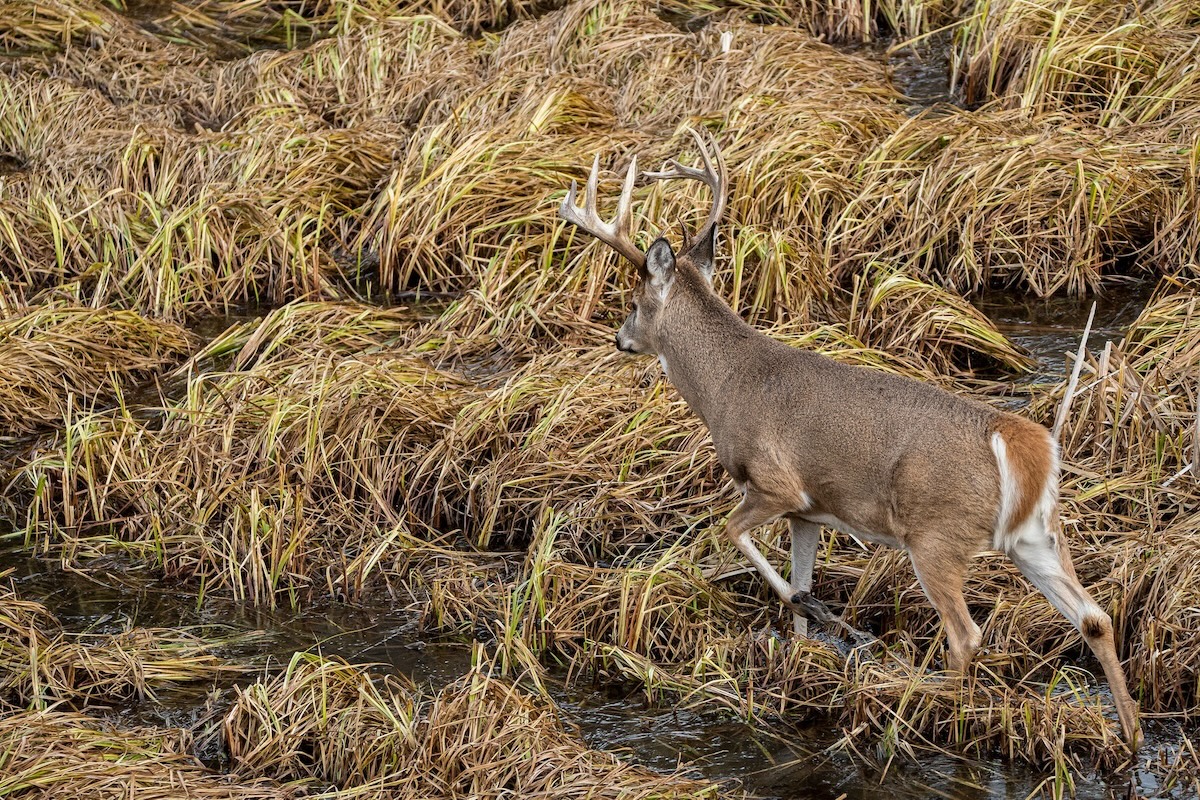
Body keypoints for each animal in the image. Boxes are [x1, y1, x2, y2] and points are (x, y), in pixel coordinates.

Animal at [558, 129, 1141, 749]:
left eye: (634, 302)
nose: (620, 339)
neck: (726, 385)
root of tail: (1019, 440)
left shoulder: (775, 484)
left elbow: (739, 539)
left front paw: (822, 620)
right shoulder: (809, 512)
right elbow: (798, 582)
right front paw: (798, 659)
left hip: (936, 534)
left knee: (967, 635)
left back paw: (914, 709)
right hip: (1036, 535)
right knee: (1094, 617)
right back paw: (1130, 736)